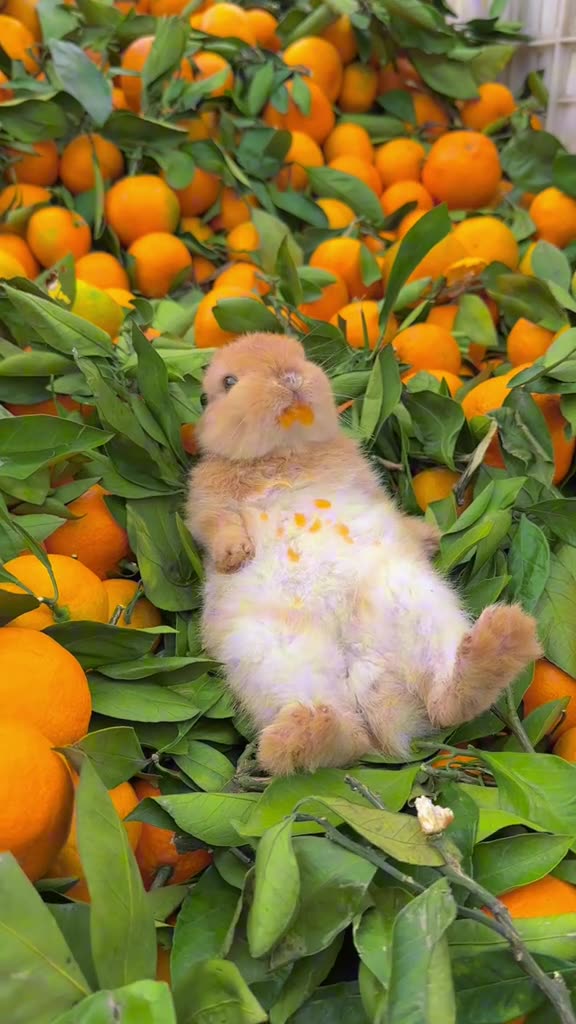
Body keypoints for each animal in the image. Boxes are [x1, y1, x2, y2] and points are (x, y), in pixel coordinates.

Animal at [186, 332, 542, 776]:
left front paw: (427, 536)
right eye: (229, 382)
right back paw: (303, 733)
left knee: (442, 702)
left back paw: (501, 640)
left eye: (301, 355)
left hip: (413, 602)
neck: (282, 454)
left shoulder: (364, 481)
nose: (289, 377)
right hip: (272, 659)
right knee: (347, 738)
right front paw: (236, 554)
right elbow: (216, 525)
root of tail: (373, 697)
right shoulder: (206, 499)